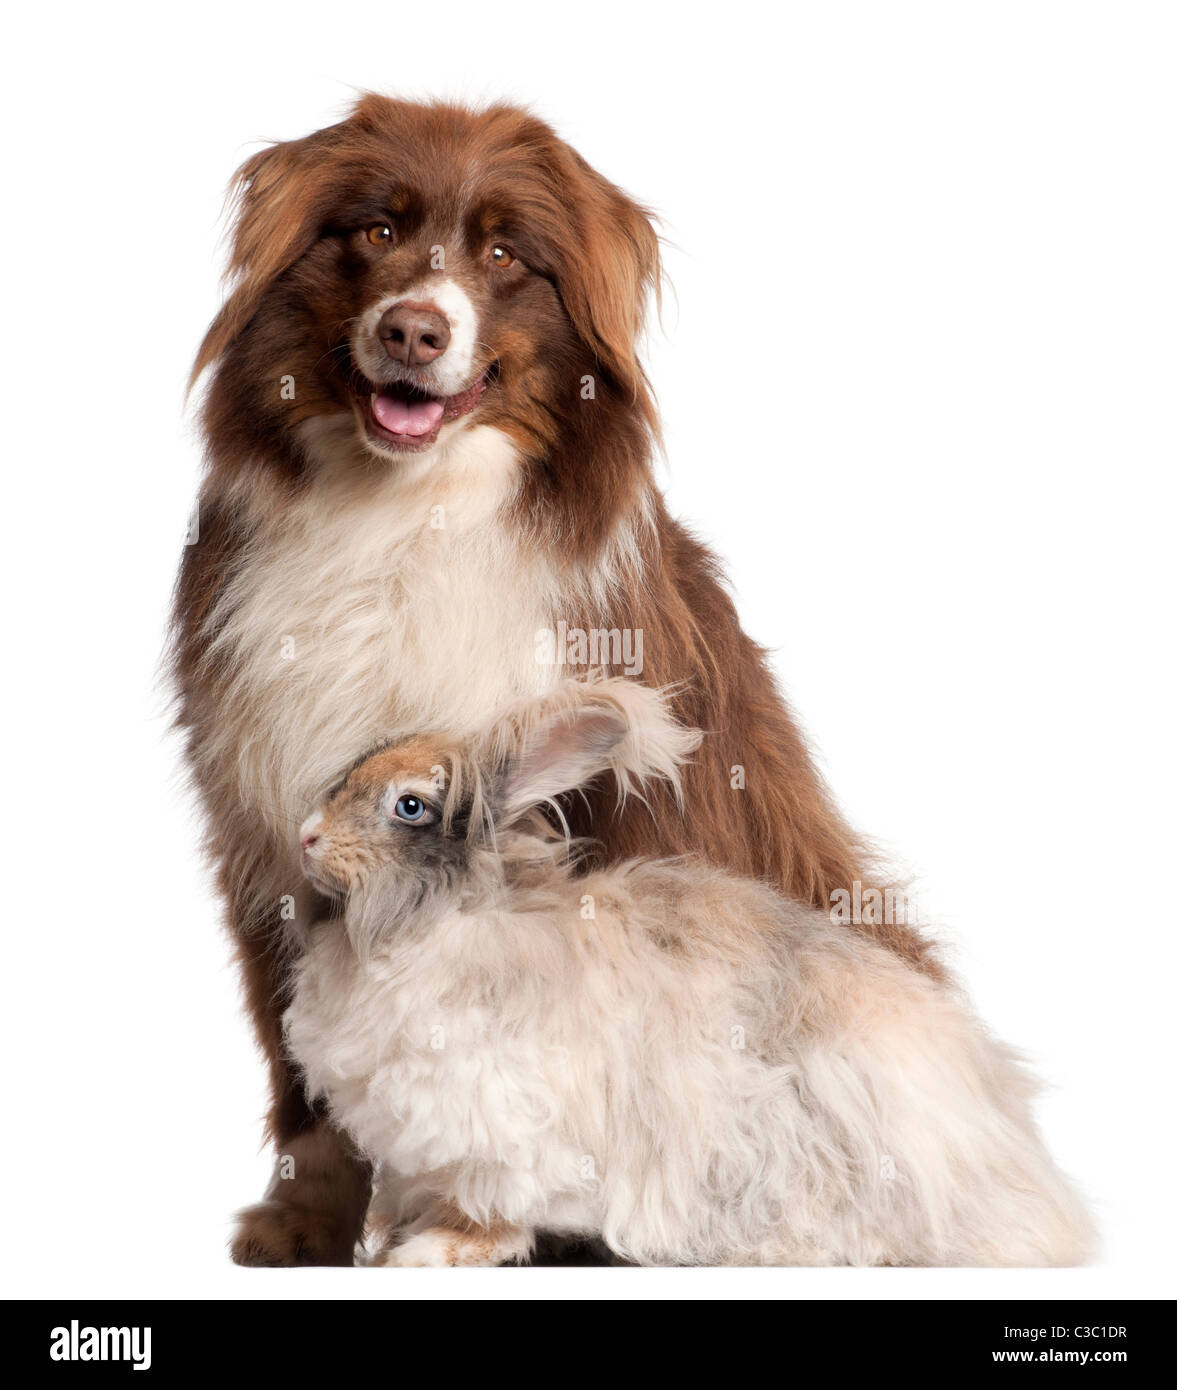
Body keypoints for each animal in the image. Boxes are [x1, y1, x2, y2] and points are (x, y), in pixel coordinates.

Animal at [282, 677, 1094, 1267]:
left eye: (409, 806)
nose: (307, 836)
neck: (442, 921)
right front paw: (382, 1240)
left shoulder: (499, 1134)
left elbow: (490, 1212)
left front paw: (425, 1254)